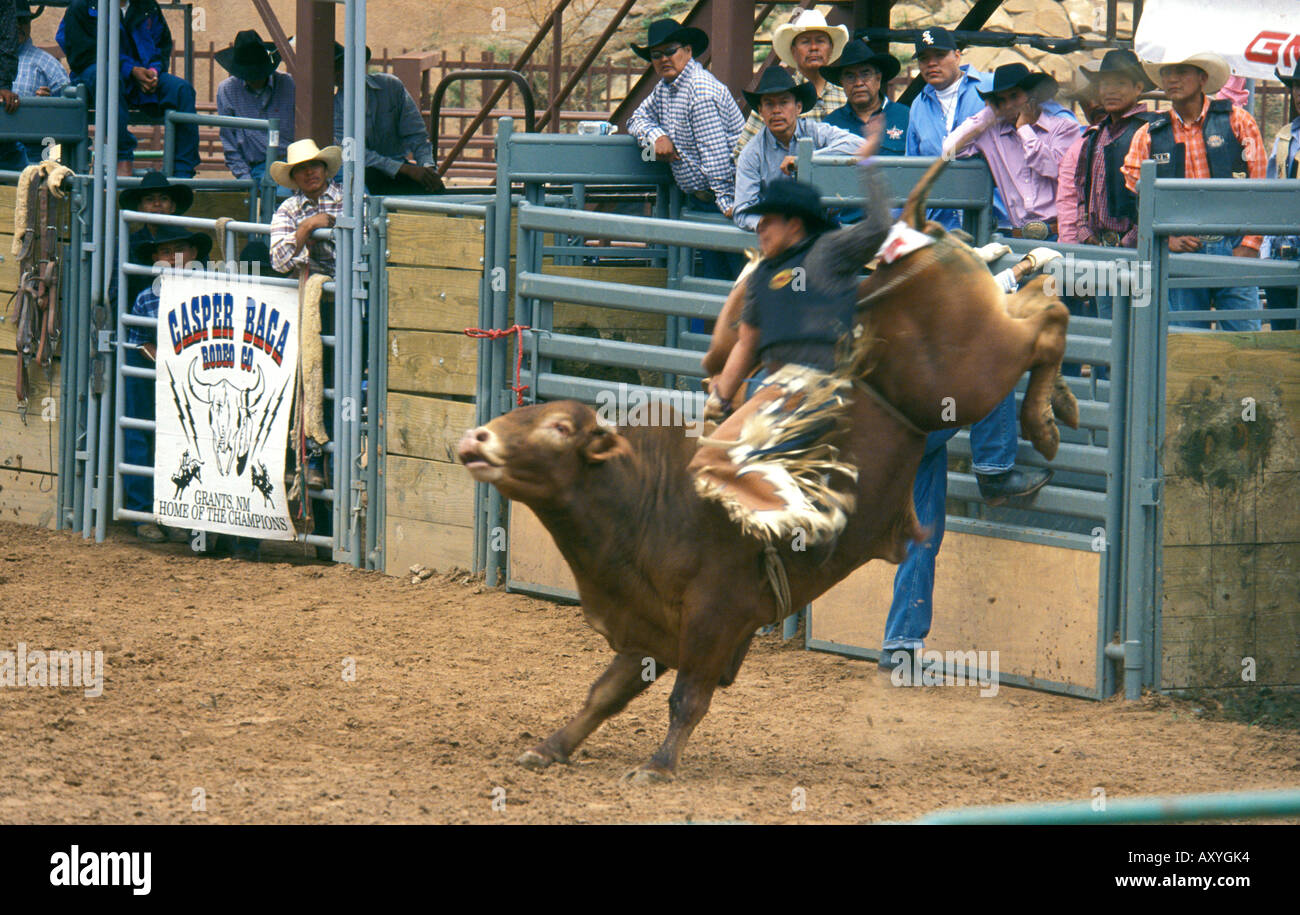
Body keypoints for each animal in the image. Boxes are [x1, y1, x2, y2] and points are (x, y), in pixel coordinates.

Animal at [457, 156, 1076, 783]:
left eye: (560, 427)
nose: (477, 438)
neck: (648, 498)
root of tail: (915, 240)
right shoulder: (650, 625)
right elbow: (604, 693)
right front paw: (551, 747)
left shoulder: (716, 619)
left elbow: (687, 699)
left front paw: (657, 765)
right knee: (1031, 303)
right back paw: (1052, 372)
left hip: (971, 373)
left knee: (1048, 318)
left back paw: (1048, 415)